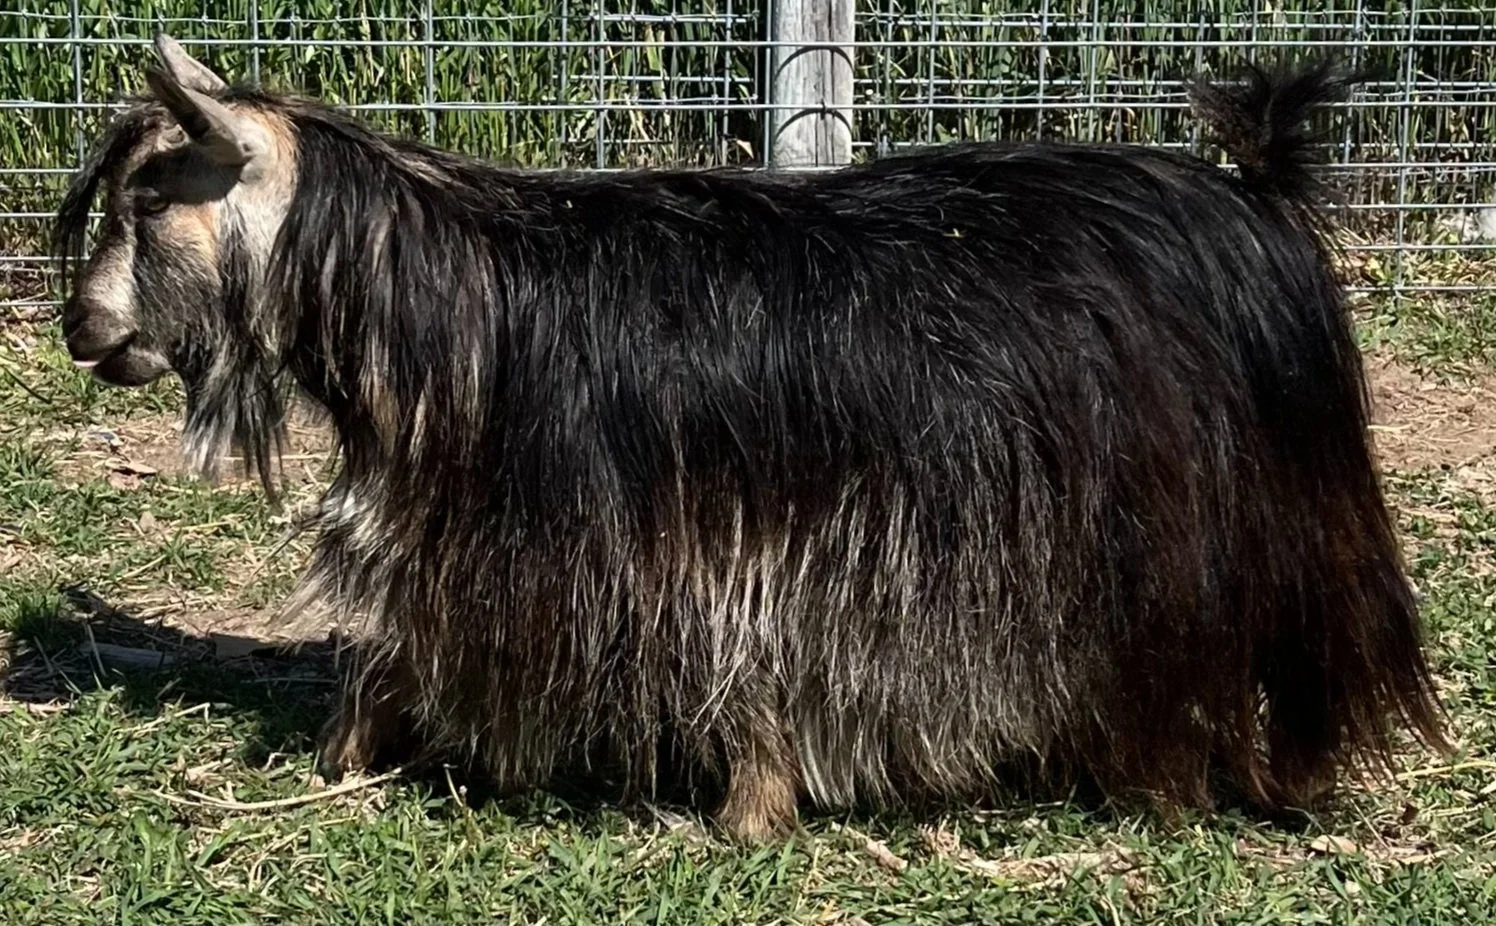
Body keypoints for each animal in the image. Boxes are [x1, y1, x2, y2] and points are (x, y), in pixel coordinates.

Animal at [54, 34, 1447, 840]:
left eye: (148, 199)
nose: (80, 323)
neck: (460, 311)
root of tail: (1255, 192)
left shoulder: (651, 538)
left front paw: (747, 812)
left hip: (1243, 529)